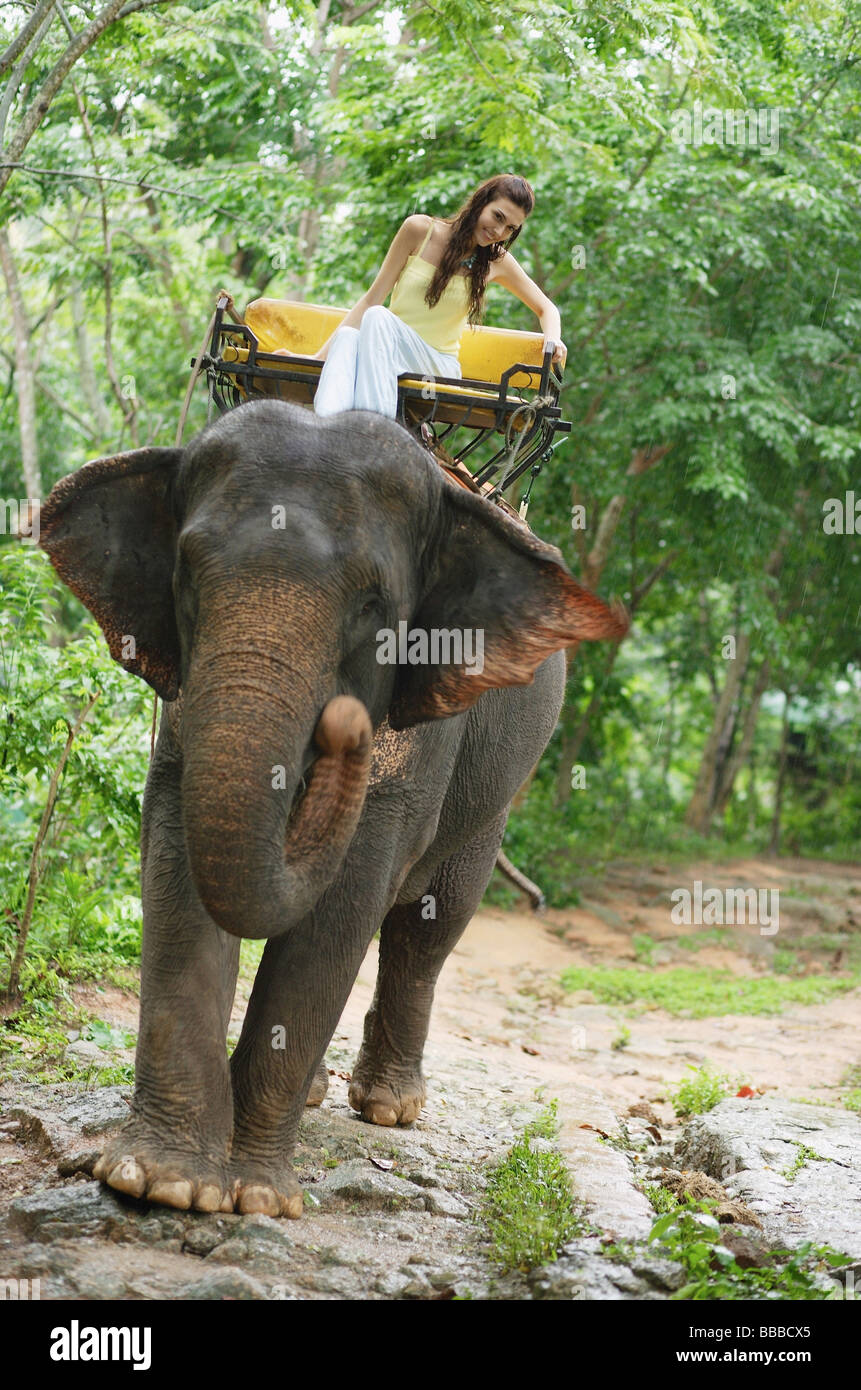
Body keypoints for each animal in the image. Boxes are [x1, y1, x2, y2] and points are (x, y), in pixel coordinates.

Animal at [37, 397, 627, 1218]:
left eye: (373, 606)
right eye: (186, 574)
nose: (342, 727)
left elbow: (348, 899)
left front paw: (257, 1198)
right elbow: (179, 864)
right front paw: (161, 1183)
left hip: (493, 800)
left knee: (429, 928)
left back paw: (387, 1107)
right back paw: (320, 1095)